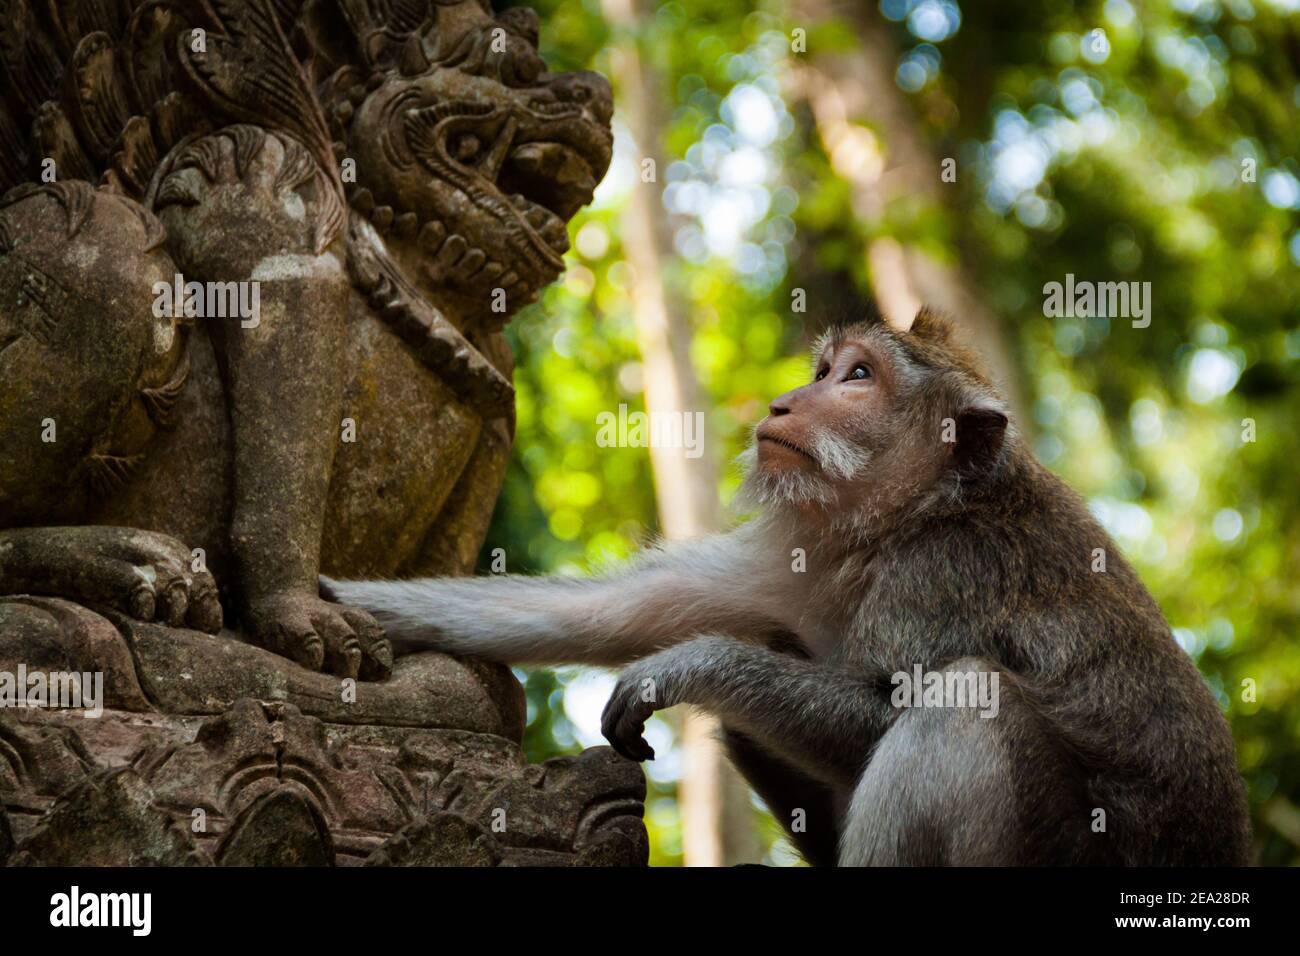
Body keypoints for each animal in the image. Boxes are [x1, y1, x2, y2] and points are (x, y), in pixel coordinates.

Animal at [323, 307, 1252, 866]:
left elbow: (880, 712)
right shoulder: (806, 545)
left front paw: (689, 668)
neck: (906, 517)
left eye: (858, 377)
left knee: (964, 703)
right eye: (826, 367)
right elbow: (619, 610)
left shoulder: (945, 572)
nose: (781, 404)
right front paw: (333, 603)